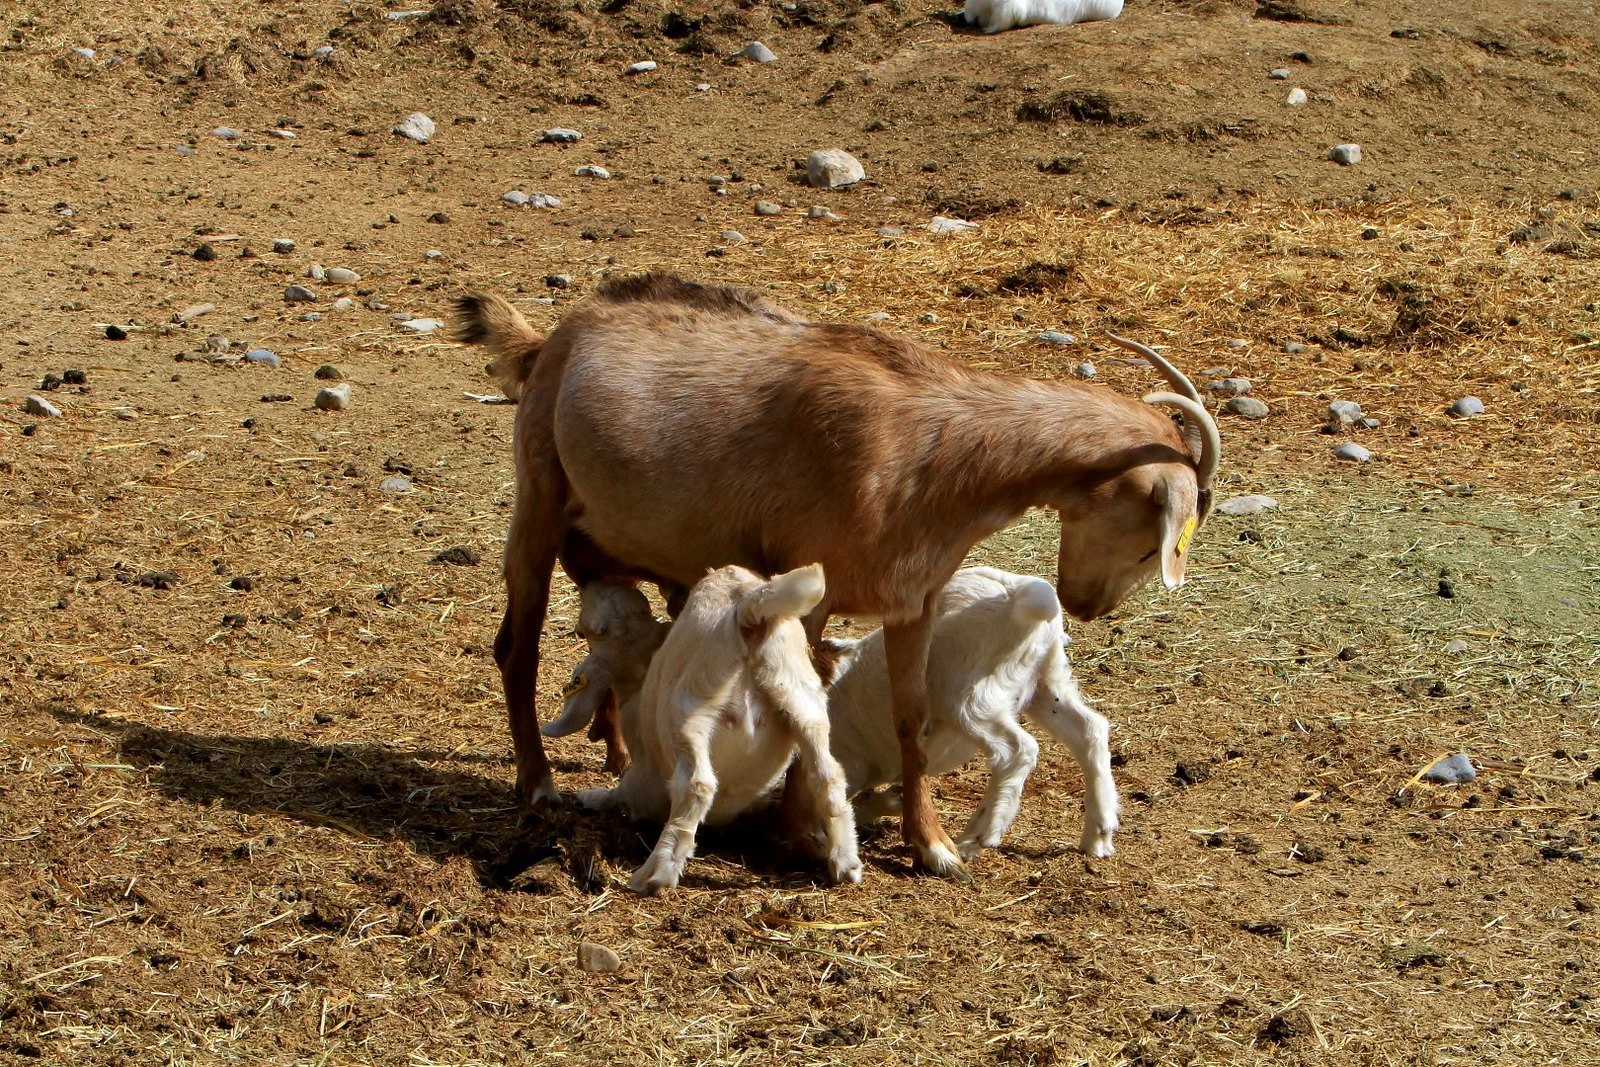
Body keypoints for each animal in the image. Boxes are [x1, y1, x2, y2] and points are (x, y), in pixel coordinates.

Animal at [574, 564, 862, 894]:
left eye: (593, 630)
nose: (591, 583)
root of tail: (749, 610)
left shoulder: (643, 782)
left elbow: (620, 794)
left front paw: (590, 796)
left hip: (691, 706)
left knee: (698, 786)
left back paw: (654, 874)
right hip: (803, 698)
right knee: (829, 775)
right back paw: (846, 862)